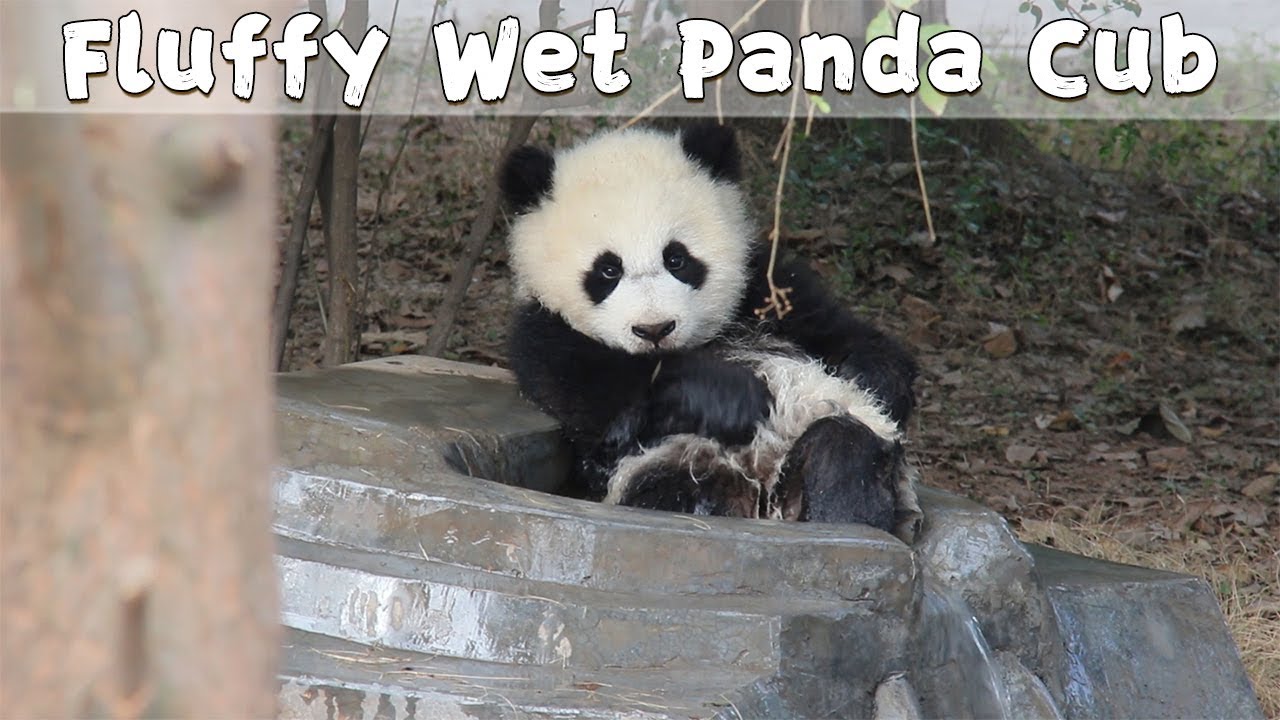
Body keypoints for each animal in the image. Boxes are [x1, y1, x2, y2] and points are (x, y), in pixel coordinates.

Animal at [500, 122, 922, 539]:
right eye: (608, 269)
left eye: (677, 258)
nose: (654, 328)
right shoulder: (542, 332)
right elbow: (594, 387)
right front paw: (733, 396)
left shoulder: (767, 288)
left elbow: (849, 336)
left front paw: (870, 379)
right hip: (672, 466)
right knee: (668, 491)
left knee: (841, 448)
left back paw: (837, 516)